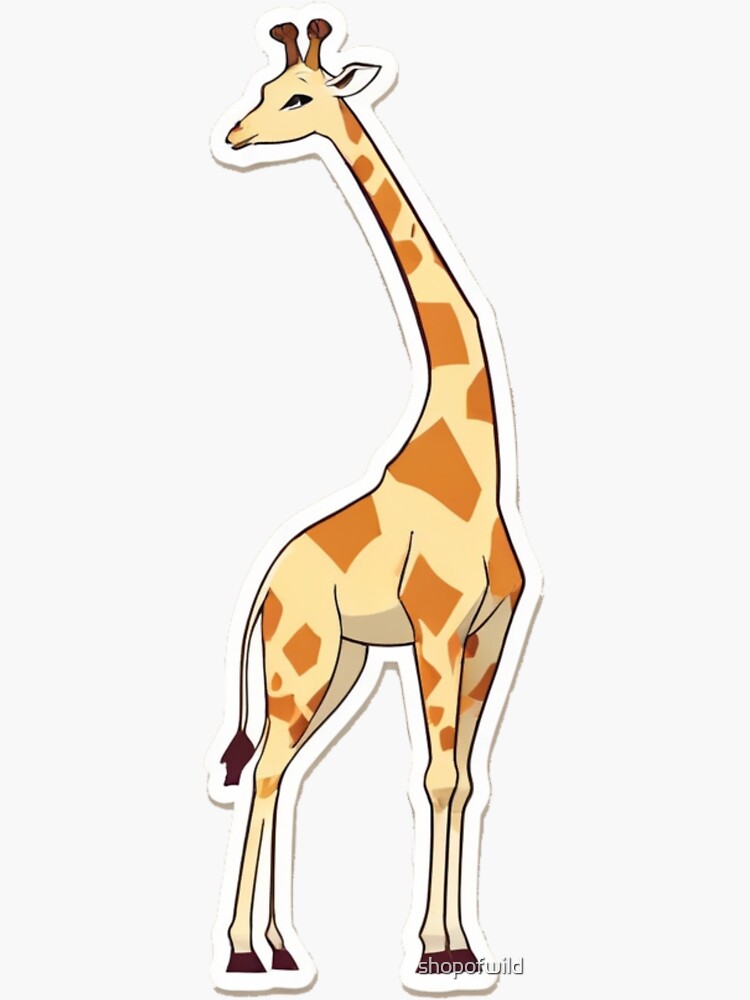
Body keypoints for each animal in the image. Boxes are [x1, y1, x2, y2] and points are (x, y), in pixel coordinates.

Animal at [211, 10, 534, 988]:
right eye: (267, 90)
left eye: (298, 97)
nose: (235, 135)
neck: (472, 464)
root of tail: (264, 589)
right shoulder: (434, 626)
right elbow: (434, 775)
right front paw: (439, 950)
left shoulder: (487, 632)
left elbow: (465, 777)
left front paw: (460, 945)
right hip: (302, 660)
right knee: (268, 767)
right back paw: (243, 953)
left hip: (340, 663)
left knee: (284, 770)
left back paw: (280, 949)